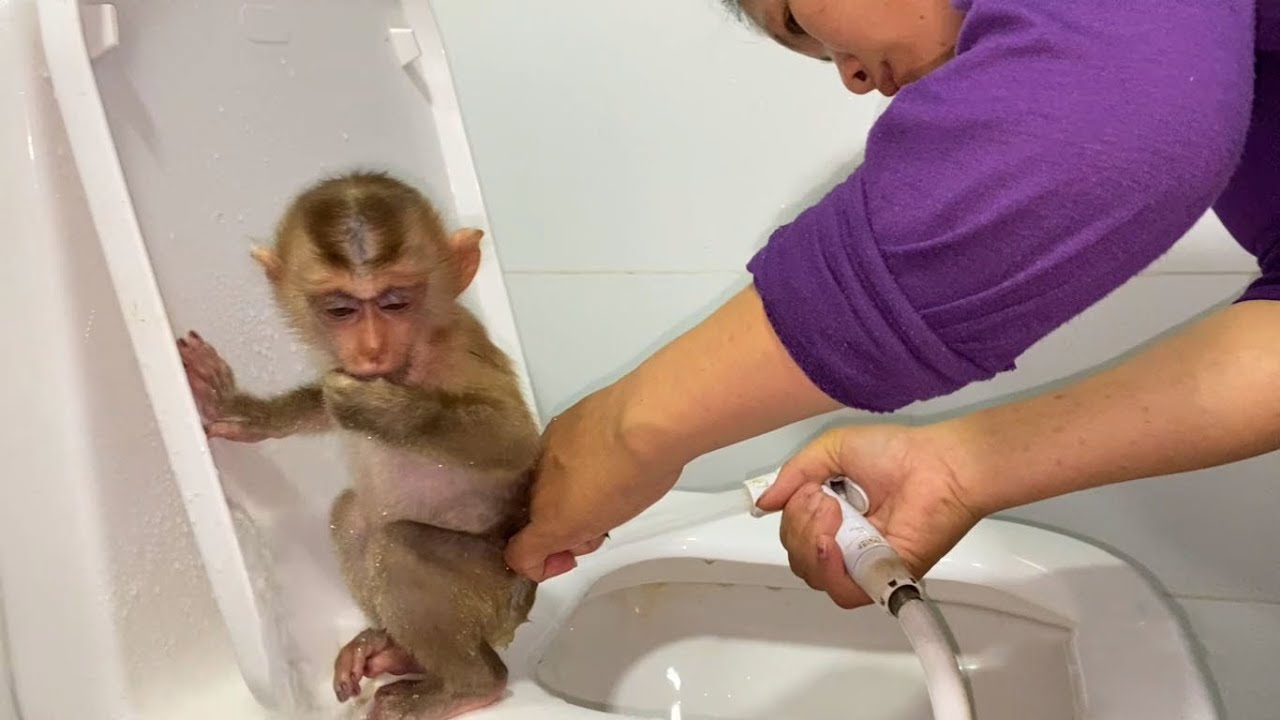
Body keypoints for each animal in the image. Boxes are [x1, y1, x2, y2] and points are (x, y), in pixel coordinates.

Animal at [176, 171, 541, 719]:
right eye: (341, 309)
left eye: (395, 302)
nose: (371, 349)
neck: (411, 358)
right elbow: (320, 405)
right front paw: (246, 412)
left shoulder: (459, 348)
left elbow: (515, 441)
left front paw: (381, 408)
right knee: (351, 516)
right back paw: (393, 648)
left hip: (493, 588)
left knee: (398, 547)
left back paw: (471, 685)